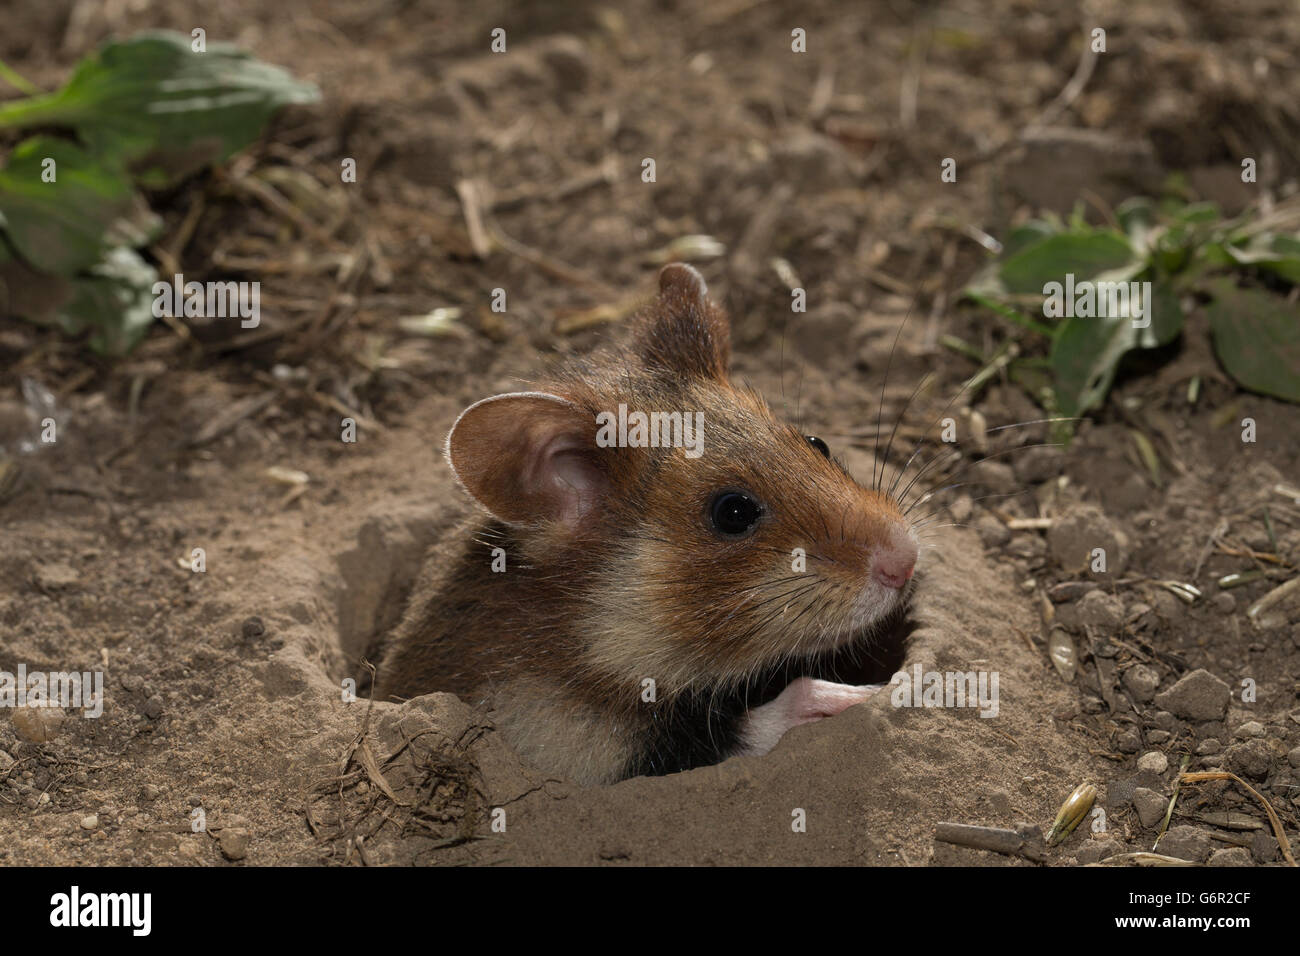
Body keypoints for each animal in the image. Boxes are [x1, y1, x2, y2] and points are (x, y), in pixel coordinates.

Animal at [372, 263, 919, 786]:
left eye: (816, 443)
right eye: (733, 512)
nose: (907, 561)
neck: (585, 636)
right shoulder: (569, 738)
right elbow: (748, 724)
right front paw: (858, 695)